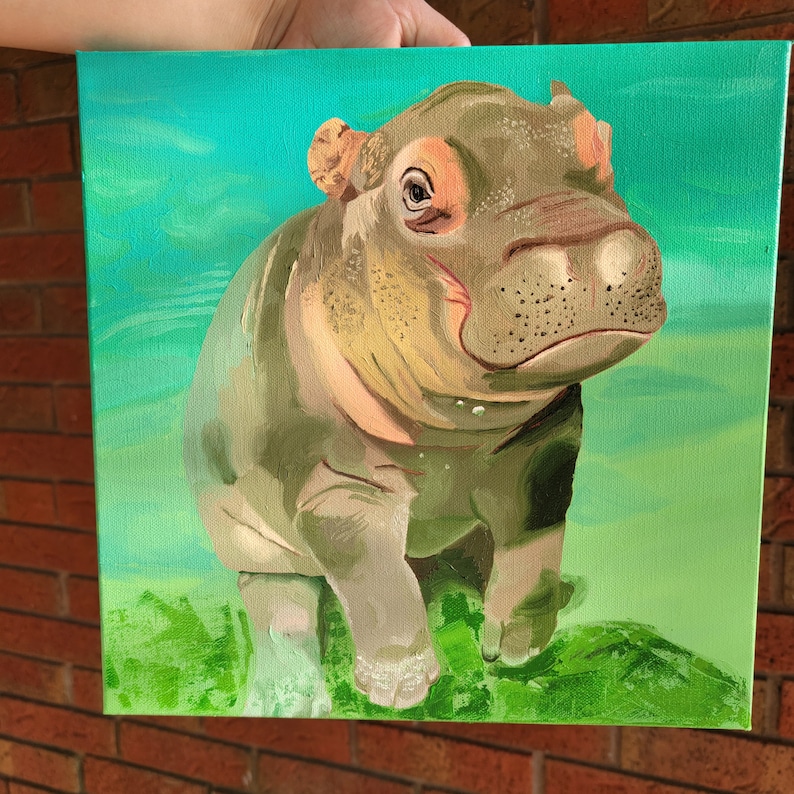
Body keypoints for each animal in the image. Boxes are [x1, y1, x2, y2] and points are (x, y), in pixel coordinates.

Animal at [183, 81, 666, 715]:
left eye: (602, 143)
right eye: (415, 190)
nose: (585, 245)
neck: (456, 435)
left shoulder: (544, 441)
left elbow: (533, 543)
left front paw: (518, 649)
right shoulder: (337, 489)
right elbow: (378, 584)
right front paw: (401, 691)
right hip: (250, 537)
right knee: (279, 602)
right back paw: (288, 701)